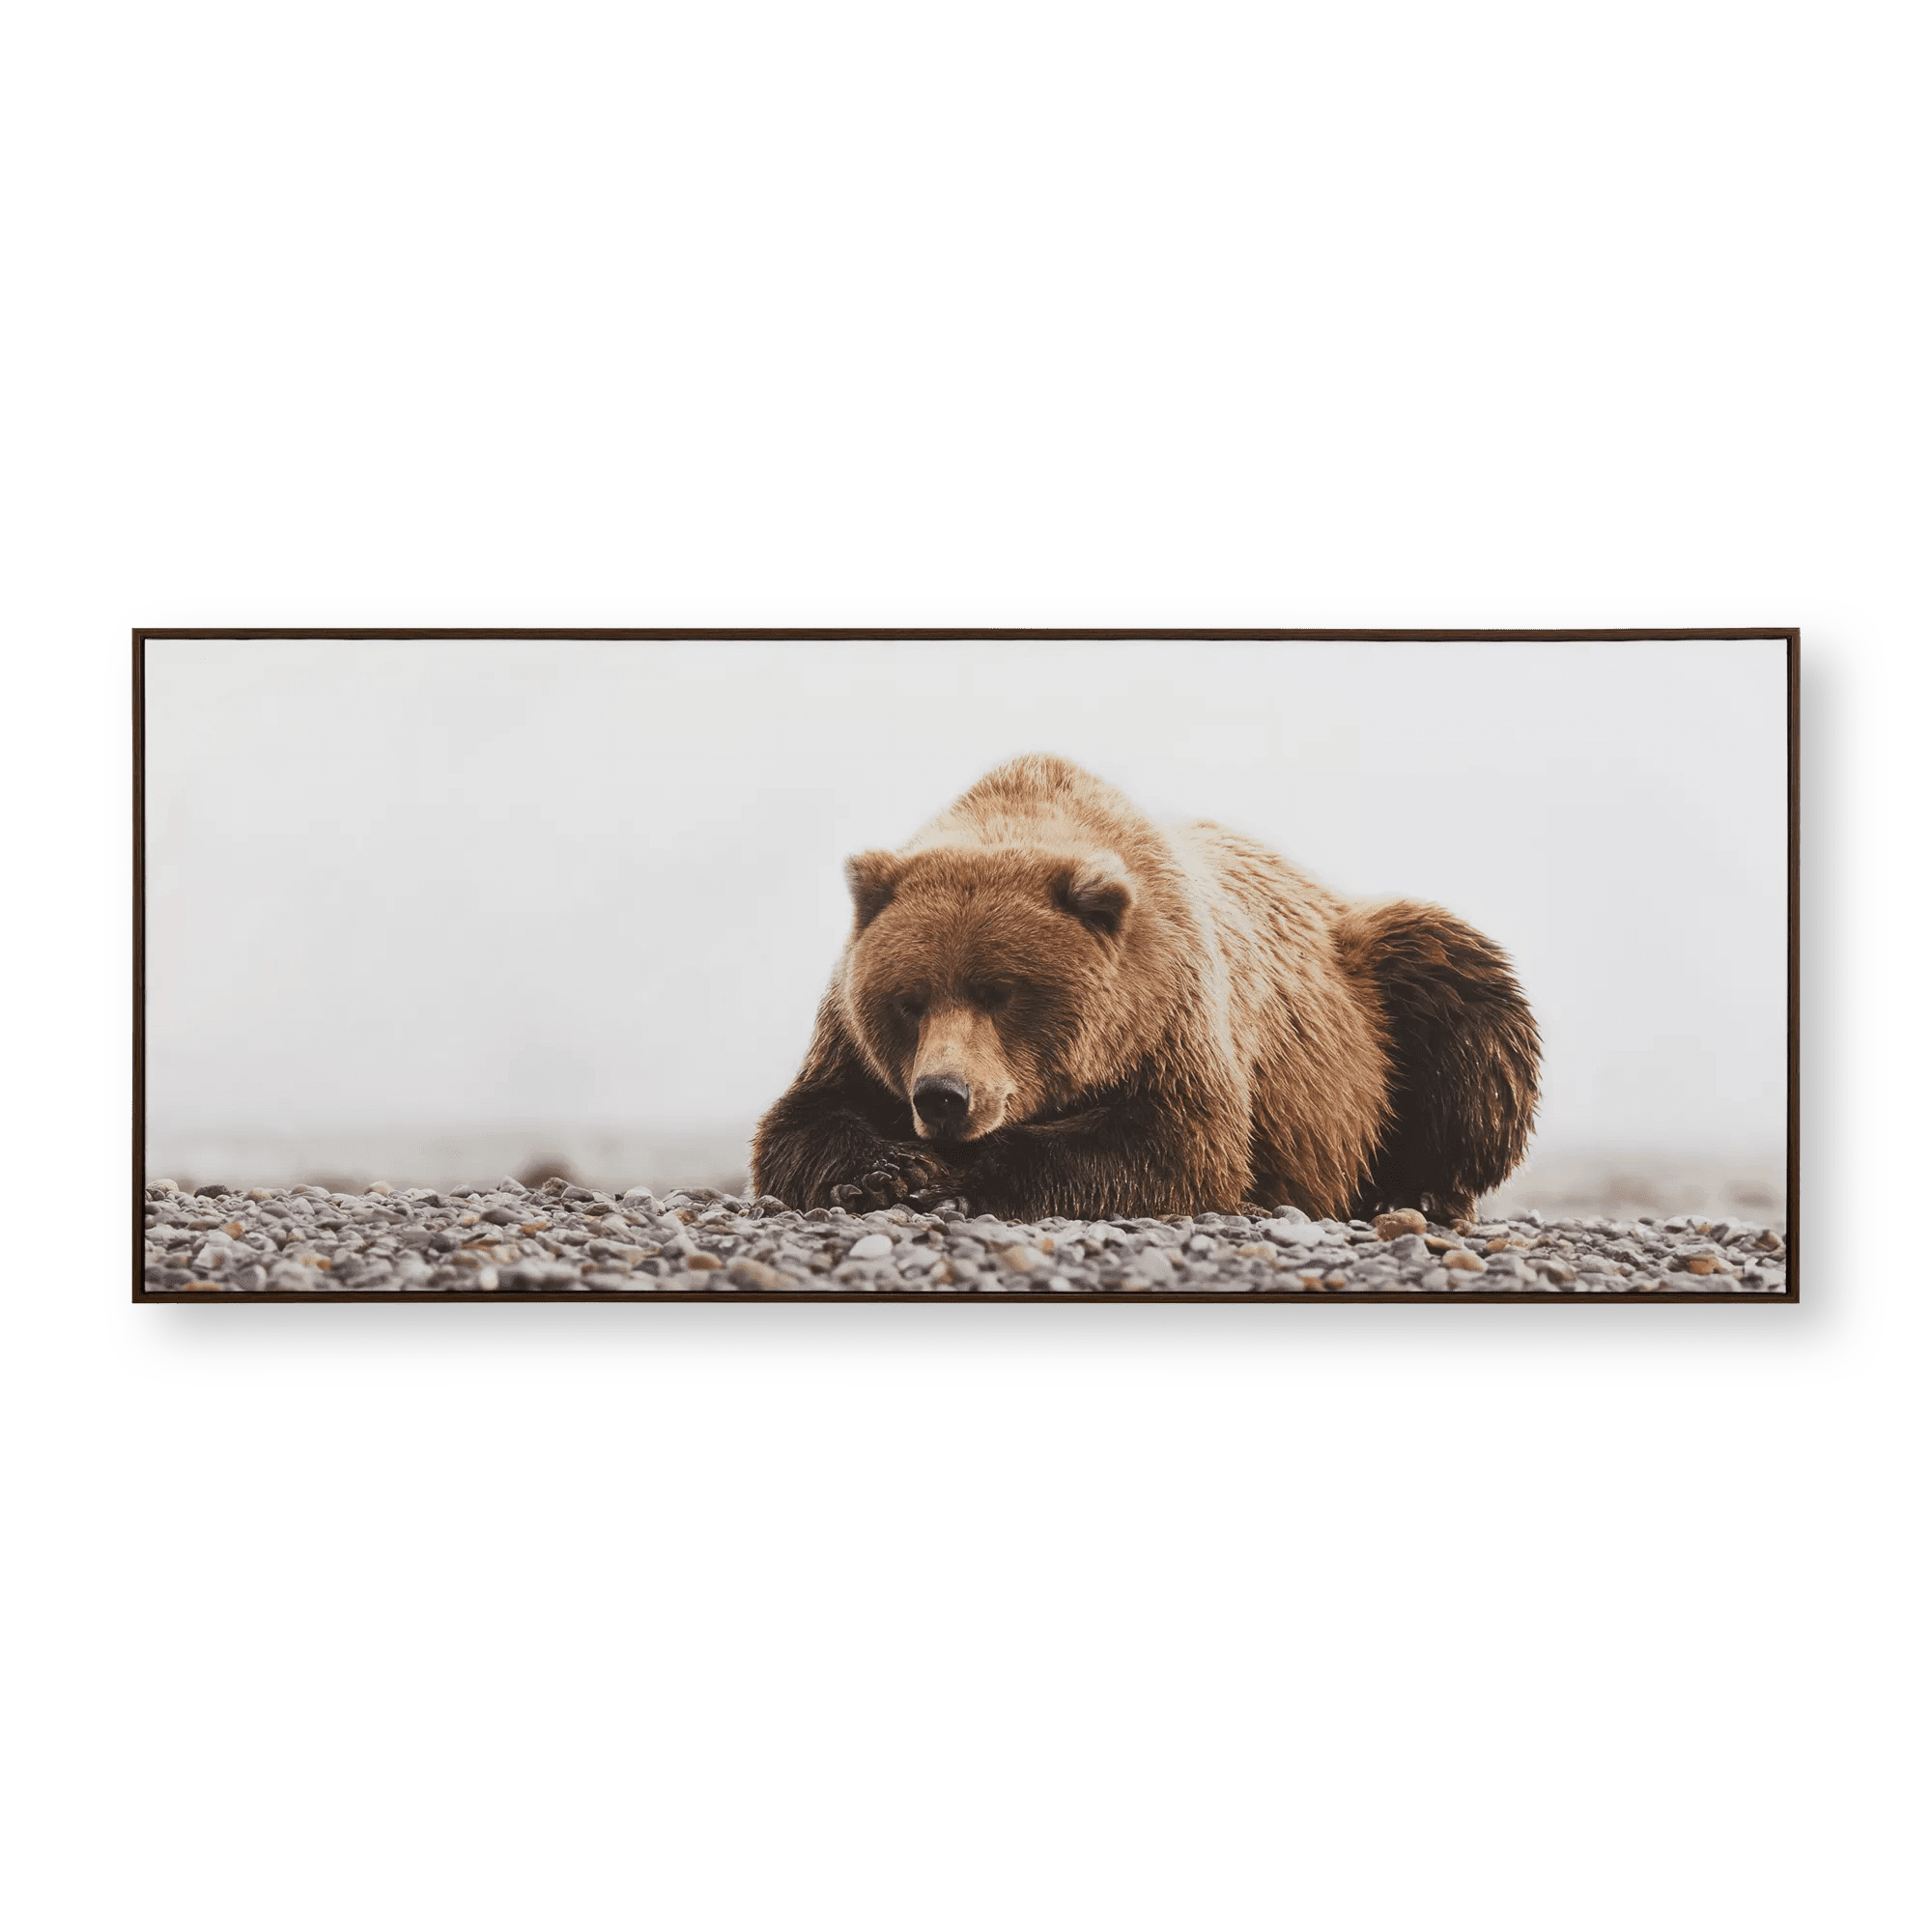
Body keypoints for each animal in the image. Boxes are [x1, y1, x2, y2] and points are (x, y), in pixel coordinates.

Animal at [750, 754, 1539, 1225]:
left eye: (1002, 992)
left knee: (1466, 1003)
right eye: (908, 1001)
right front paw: (886, 1172)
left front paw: (953, 1174)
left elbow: (1173, 1146)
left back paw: (1420, 1193)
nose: (944, 1096)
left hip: (1378, 980)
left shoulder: (1174, 1016)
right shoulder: (847, 1038)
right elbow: (798, 1126)